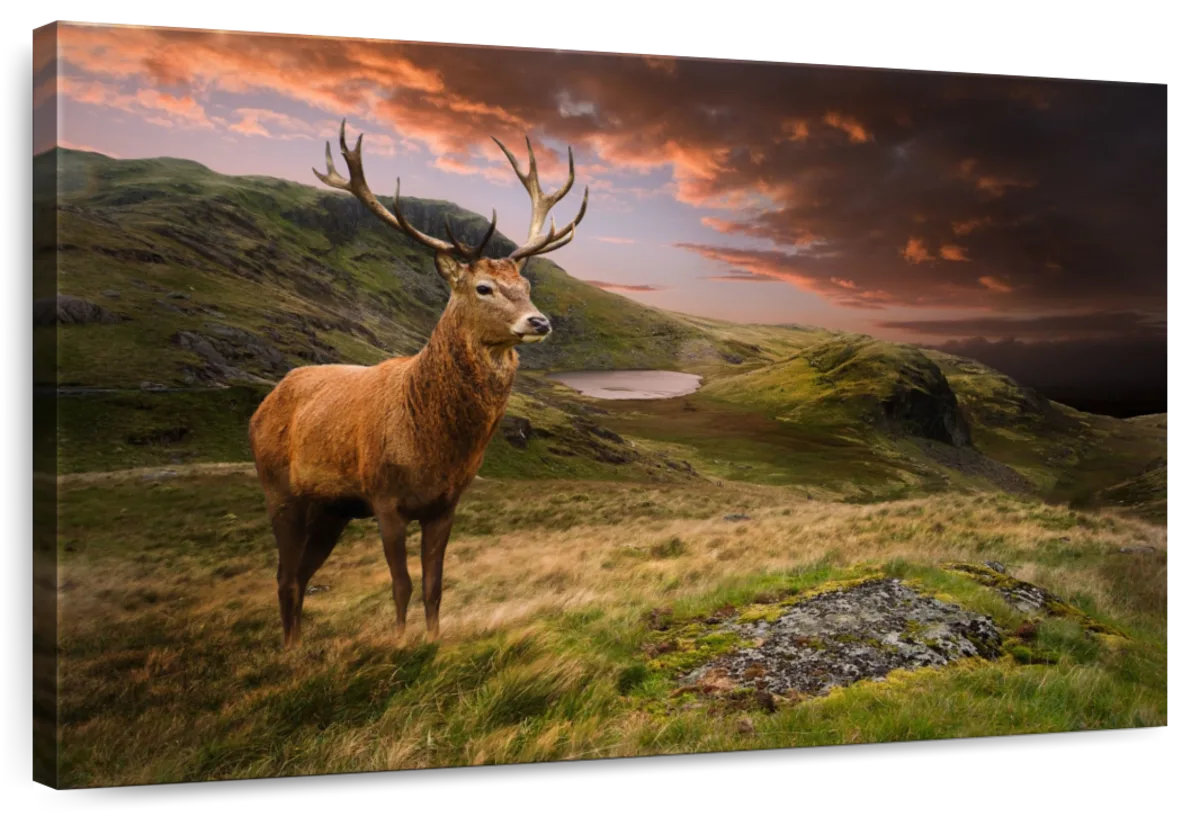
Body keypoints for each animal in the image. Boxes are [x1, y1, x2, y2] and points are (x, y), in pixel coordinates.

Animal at [249, 121, 587, 647]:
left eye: (527, 286)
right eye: (483, 287)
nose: (540, 321)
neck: (431, 445)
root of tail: (262, 405)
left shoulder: (445, 504)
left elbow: (434, 584)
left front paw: (432, 640)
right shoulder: (385, 498)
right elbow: (401, 584)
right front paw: (400, 643)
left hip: (330, 510)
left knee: (301, 575)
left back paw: (299, 646)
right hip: (279, 489)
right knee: (285, 576)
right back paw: (288, 650)